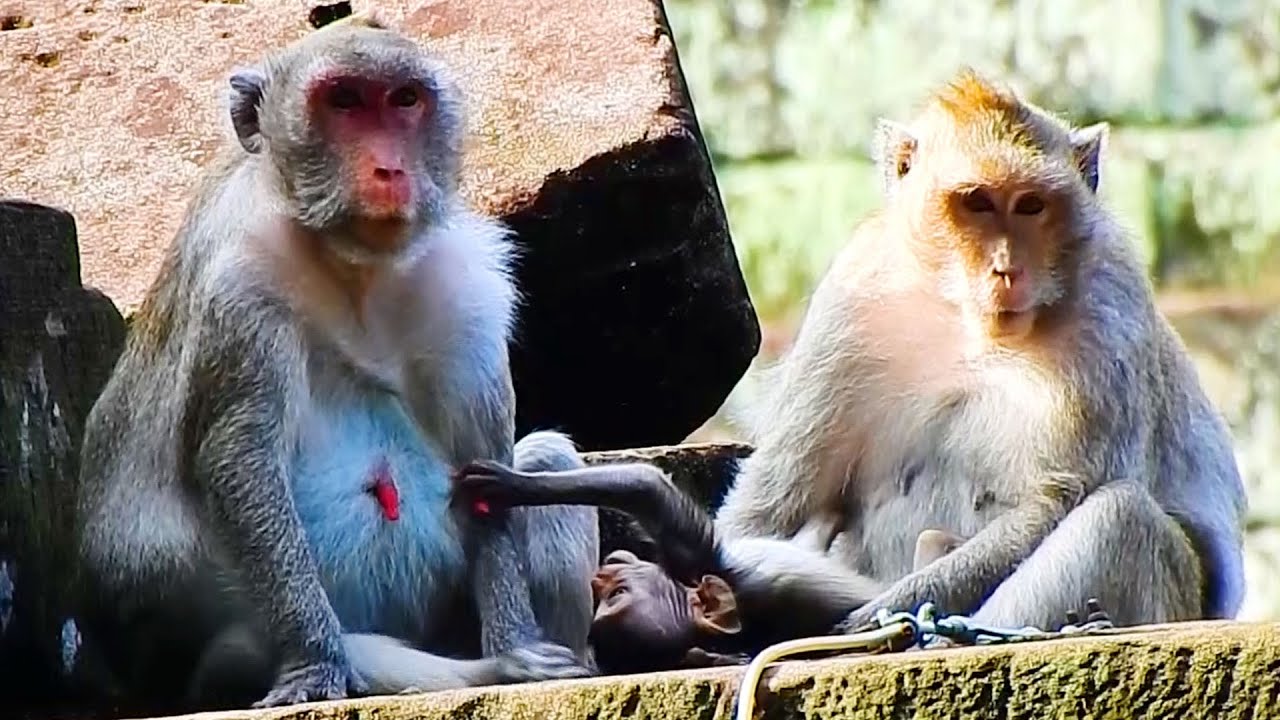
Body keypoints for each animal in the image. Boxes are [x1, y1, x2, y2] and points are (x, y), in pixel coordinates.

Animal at [72, 15, 598, 715]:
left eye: (405, 100)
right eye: (343, 101)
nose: (389, 168)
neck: (355, 270)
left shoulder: (466, 284)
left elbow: (485, 464)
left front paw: (518, 640)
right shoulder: (239, 282)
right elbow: (240, 460)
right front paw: (314, 662)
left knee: (549, 463)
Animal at [453, 460, 963, 674]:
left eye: (615, 593)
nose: (604, 574)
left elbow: (646, 488)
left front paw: (510, 483)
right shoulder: (732, 579)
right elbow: (649, 488)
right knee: (930, 540)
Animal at [711, 67, 1247, 636]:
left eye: (1031, 205)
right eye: (977, 202)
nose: (1006, 269)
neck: (970, 328)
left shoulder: (1111, 311)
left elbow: (1053, 499)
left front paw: (880, 612)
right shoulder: (850, 300)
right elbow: (768, 508)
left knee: (1121, 516)